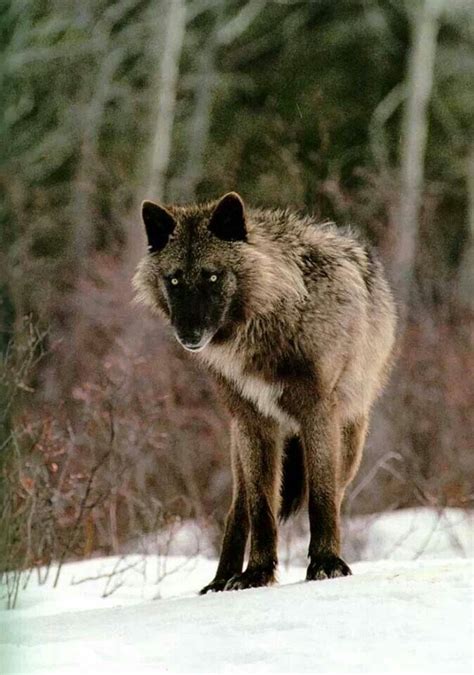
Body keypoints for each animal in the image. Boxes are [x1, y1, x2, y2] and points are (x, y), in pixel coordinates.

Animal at [133, 191, 396, 593]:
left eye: (213, 275)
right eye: (174, 280)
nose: (189, 335)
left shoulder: (318, 414)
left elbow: (321, 498)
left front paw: (326, 564)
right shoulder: (254, 423)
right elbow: (260, 508)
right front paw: (256, 573)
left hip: (349, 443)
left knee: (333, 493)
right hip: (240, 445)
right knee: (239, 508)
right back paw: (222, 579)